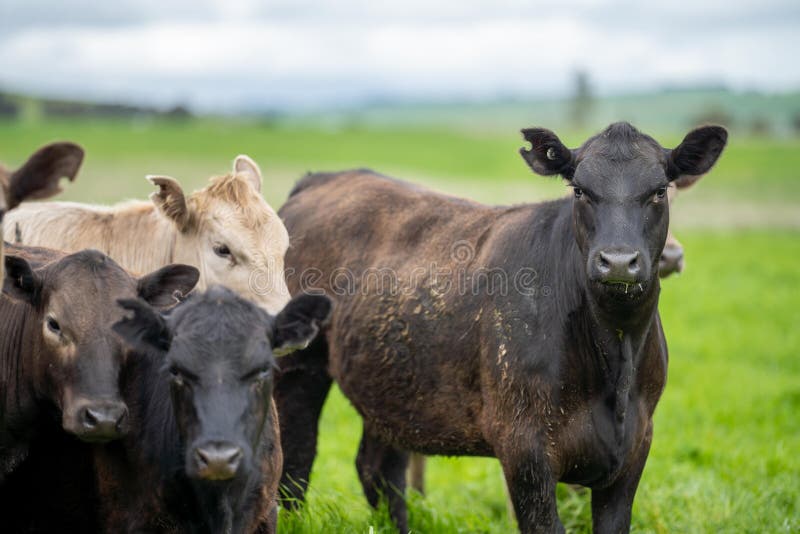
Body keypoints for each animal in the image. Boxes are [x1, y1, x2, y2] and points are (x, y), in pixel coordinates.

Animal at [274, 122, 727, 533]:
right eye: (579, 190)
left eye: (660, 190)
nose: (617, 261)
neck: (615, 359)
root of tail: (323, 179)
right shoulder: (524, 449)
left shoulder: (633, 448)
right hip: (299, 368)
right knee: (295, 466)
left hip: (390, 384)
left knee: (379, 471)